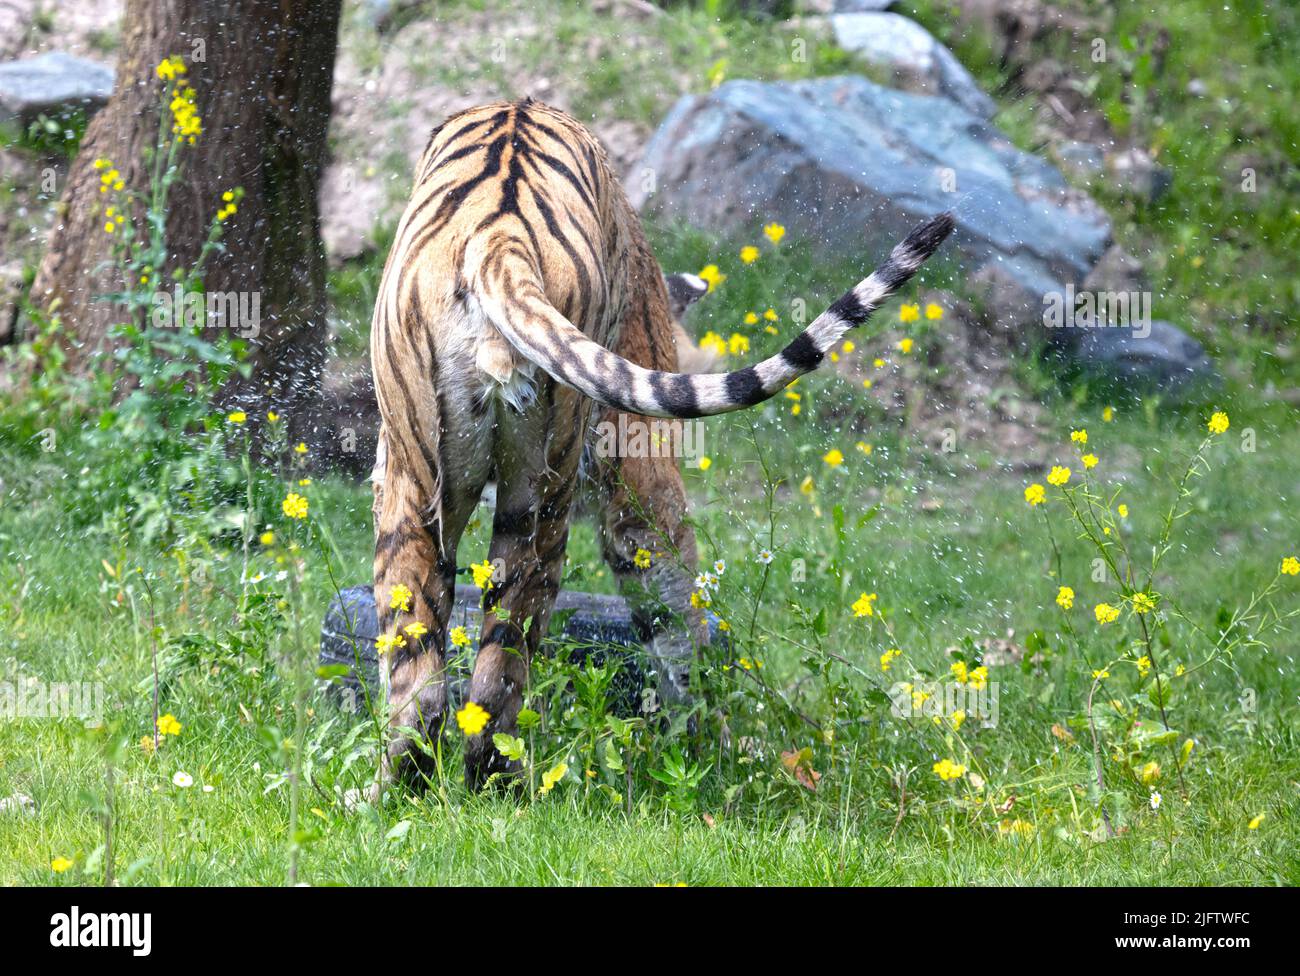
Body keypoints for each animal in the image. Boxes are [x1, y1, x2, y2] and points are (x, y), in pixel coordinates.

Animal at [369, 97, 954, 791]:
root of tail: (498, 241)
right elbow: (678, 616)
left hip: (469, 485)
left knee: (459, 679)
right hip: (479, 489)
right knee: (468, 677)